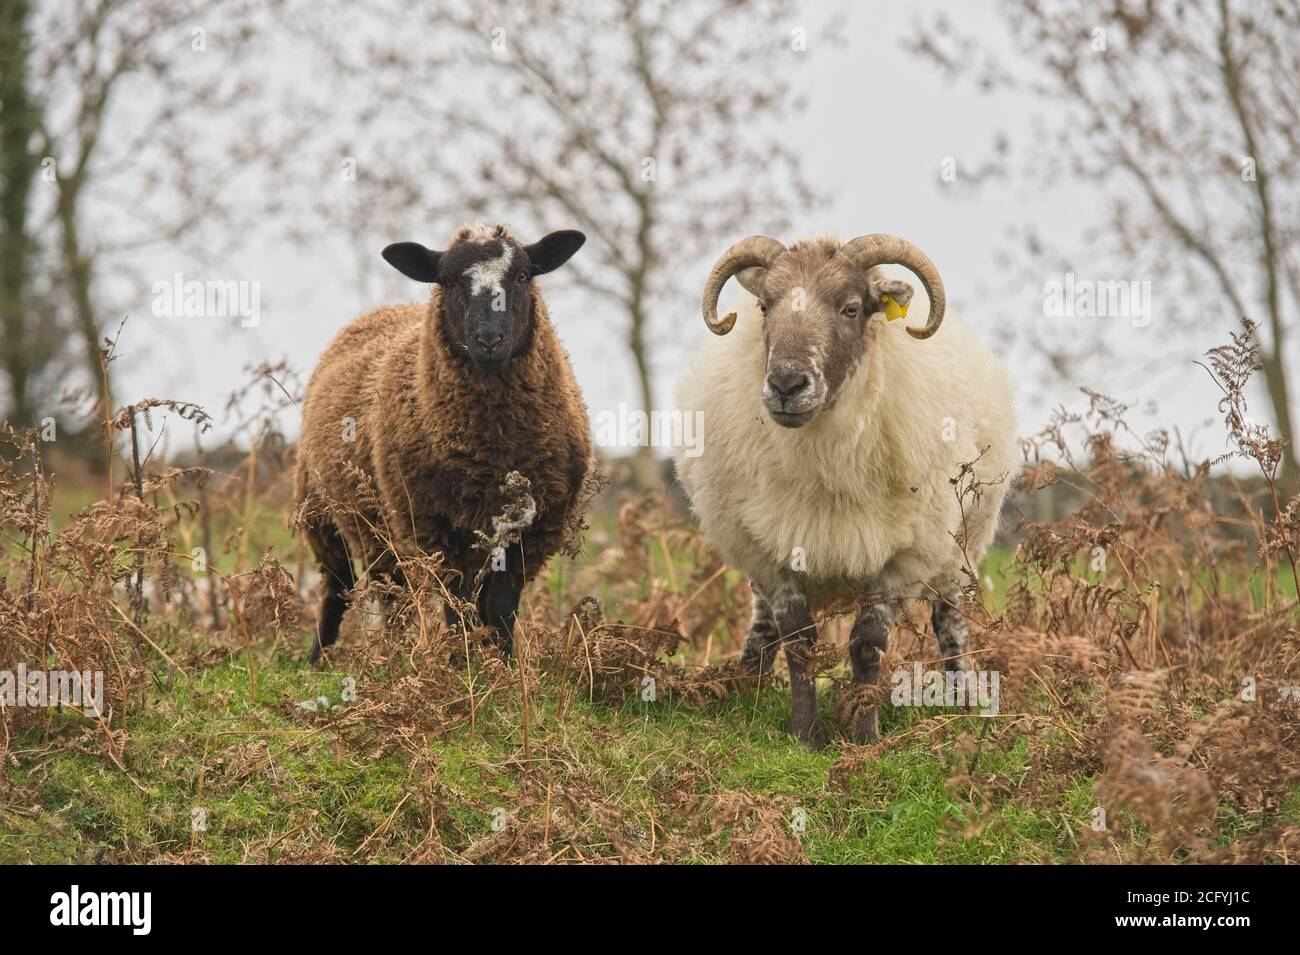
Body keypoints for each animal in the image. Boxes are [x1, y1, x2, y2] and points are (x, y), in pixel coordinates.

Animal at [294, 223, 592, 664]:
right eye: (448, 280)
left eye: (523, 276)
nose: (489, 339)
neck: (492, 449)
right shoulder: (437, 527)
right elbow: (458, 603)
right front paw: (462, 662)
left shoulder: (531, 530)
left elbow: (500, 606)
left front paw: (502, 663)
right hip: (323, 511)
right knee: (340, 587)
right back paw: (319, 659)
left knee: (390, 589)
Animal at [674, 234, 1017, 748]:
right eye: (764, 306)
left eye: (851, 308)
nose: (786, 385)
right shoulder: (773, 550)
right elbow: (798, 641)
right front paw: (806, 734)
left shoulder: (903, 556)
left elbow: (868, 644)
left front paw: (865, 734)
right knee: (761, 621)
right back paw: (747, 683)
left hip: (963, 543)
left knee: (950, 620)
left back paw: (964, 703)